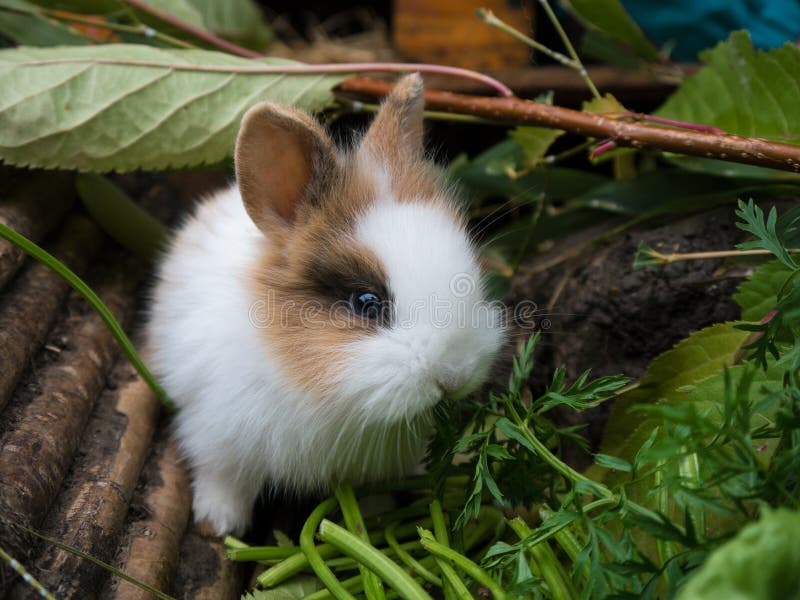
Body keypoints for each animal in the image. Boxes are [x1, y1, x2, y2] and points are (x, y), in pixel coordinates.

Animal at [145, 73, 505, 535]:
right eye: (366, 302)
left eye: (470, 272)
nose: (454, 375)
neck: (315, 386)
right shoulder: (219, 435)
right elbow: (224, 480)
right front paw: (218, 525)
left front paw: (371, 523)